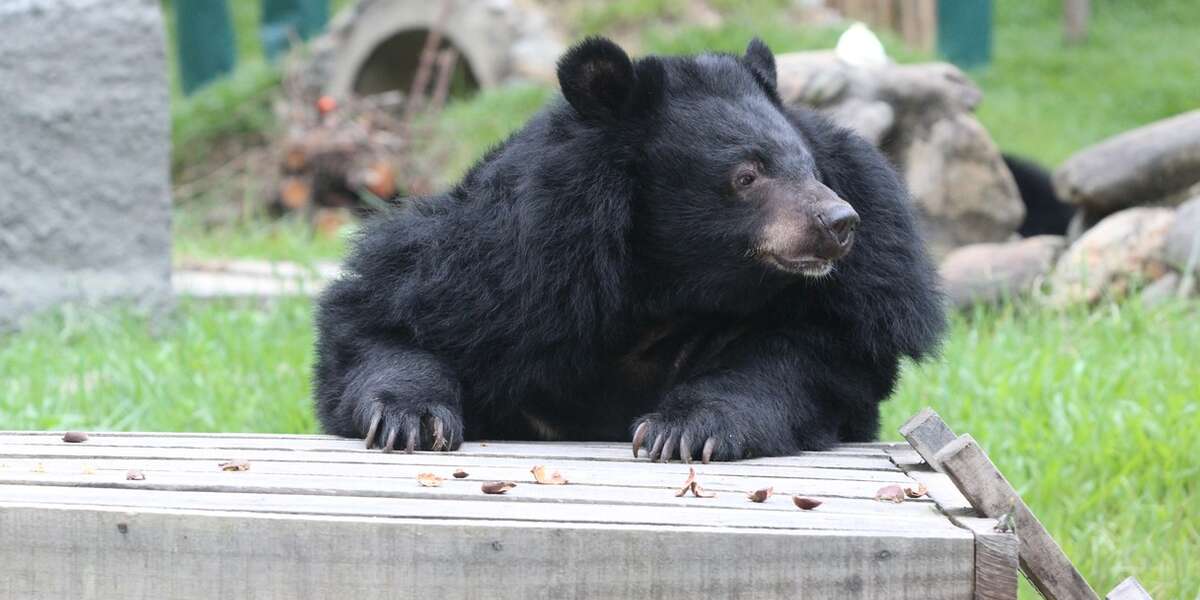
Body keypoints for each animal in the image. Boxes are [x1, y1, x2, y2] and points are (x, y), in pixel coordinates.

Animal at [312, 37, 946, 462]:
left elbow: (798, 357)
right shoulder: (501, 268)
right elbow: (385, 319)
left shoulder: (859, 295)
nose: (841, 223)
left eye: (812, 169)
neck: (668, 285)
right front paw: (410, 420)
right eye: (746, 175)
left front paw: (682, 431)